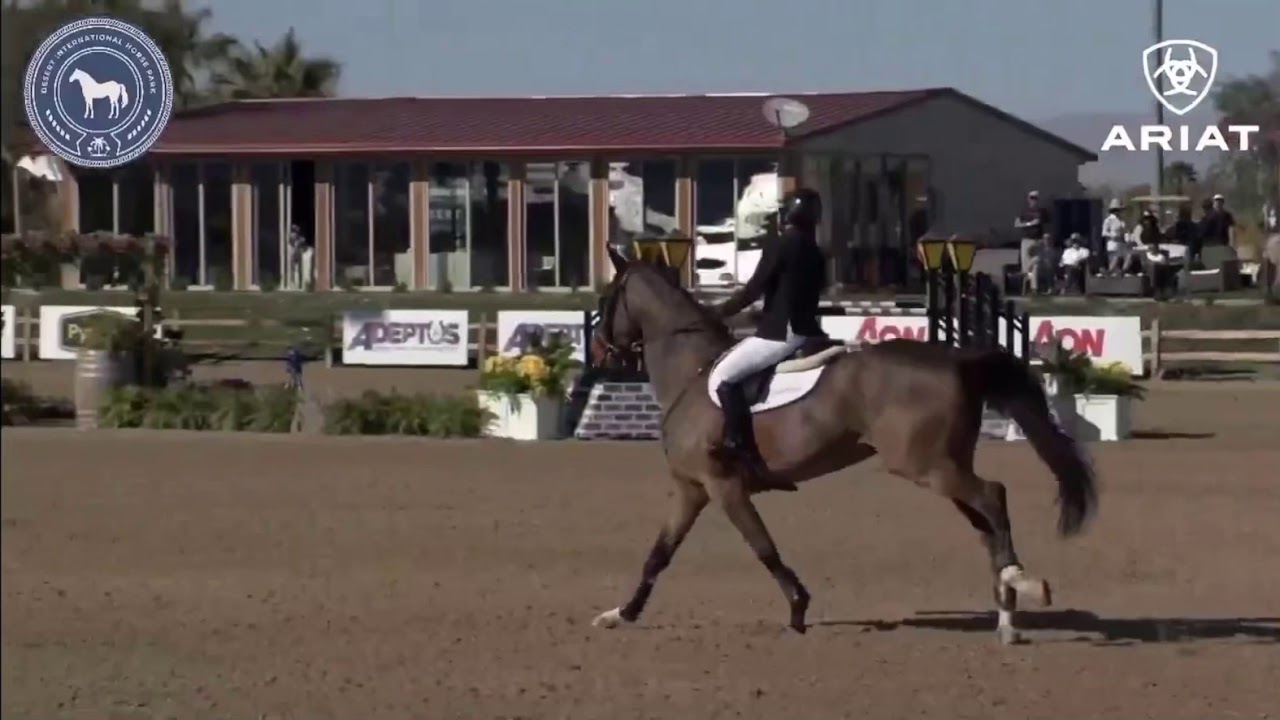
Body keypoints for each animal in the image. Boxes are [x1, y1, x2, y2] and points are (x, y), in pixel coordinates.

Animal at [588, 248, 1097, 644]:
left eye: (607, 298)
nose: (597, 351)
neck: (691, 372)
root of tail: (957, 360)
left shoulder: (722, 485)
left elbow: (763, 547)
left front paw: (798, 609)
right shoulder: (691, 487)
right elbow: (660, 554)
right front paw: (622, 614)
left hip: (927, 466)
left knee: (993, 496)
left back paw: (1020, 584)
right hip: (944, 465)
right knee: (986, 520)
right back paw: (1007, 617)